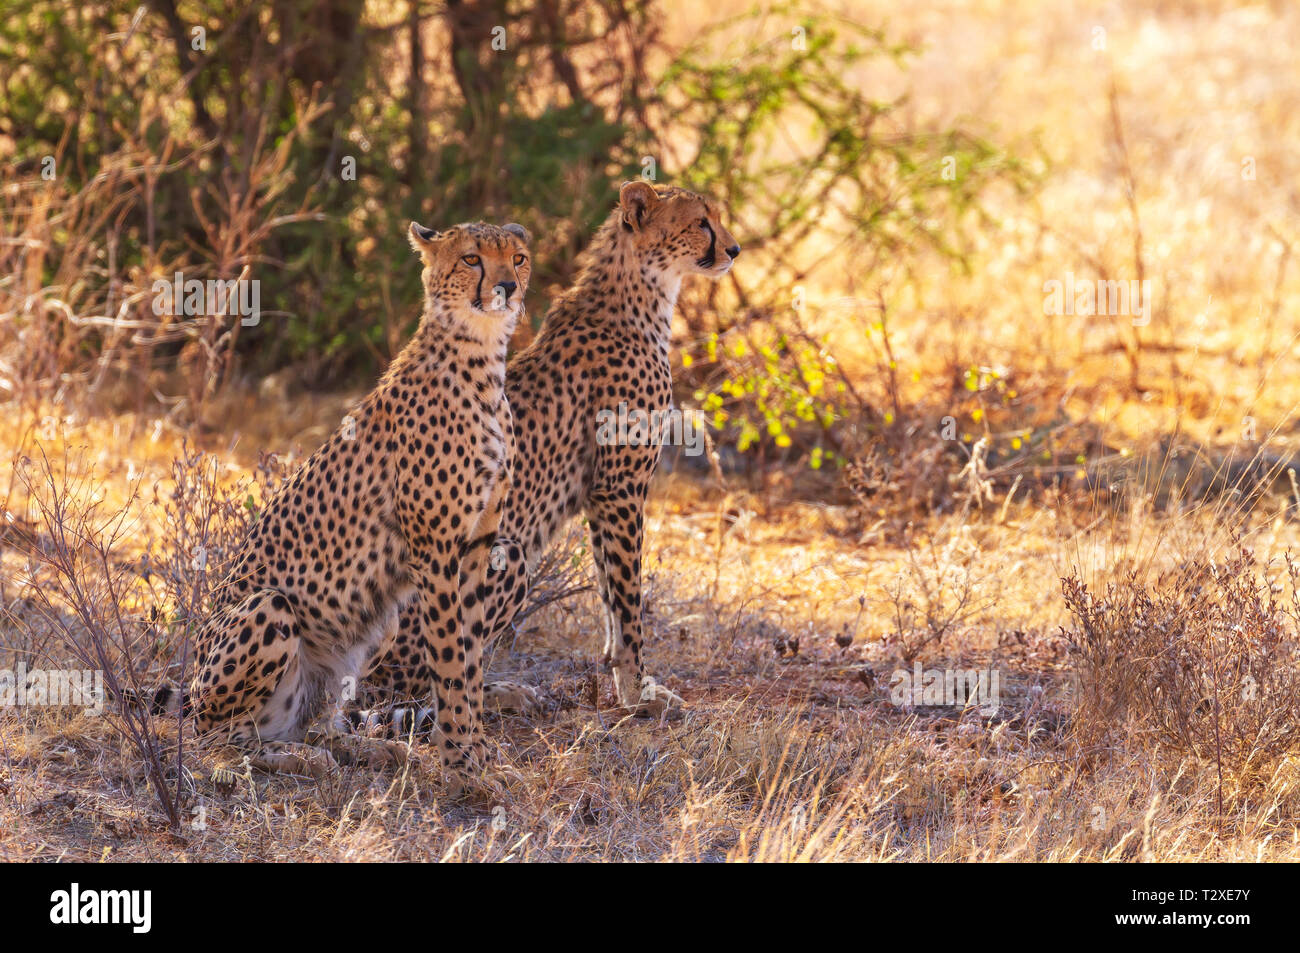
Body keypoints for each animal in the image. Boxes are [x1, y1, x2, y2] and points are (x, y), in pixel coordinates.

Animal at [365, 181, 739, 720]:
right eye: (701, 222)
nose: (734, 249)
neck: (642, 292)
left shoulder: (600, 495)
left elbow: (609, 592)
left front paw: (620, 676)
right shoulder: (621, 489)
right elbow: (630, 599)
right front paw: (638, 693)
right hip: (509, 555)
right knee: (423, 683)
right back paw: (497, 695)